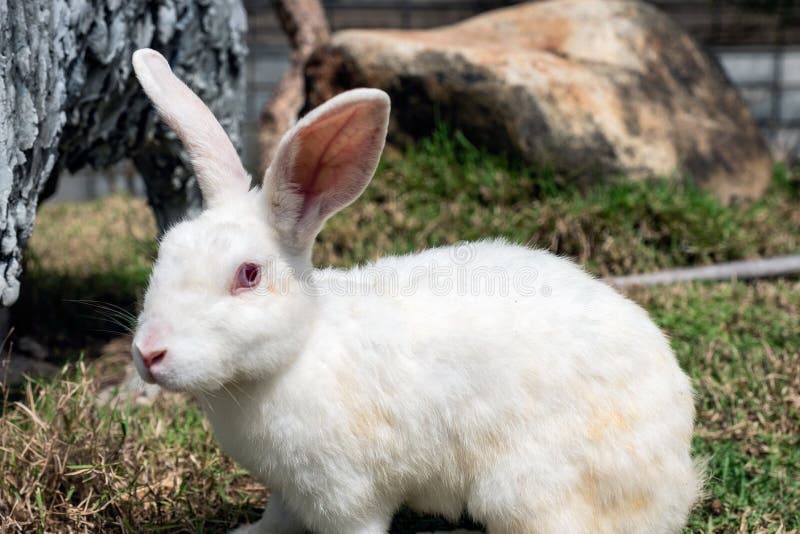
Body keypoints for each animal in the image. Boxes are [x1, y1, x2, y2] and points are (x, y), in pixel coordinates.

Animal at [130, 48, 701, 534]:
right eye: (165, 251)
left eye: (247, 274)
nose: (148, 353)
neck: (301, 349)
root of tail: (675, 473)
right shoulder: (288, 493)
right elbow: (276, 520)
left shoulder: (345, 494)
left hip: (527, 491)